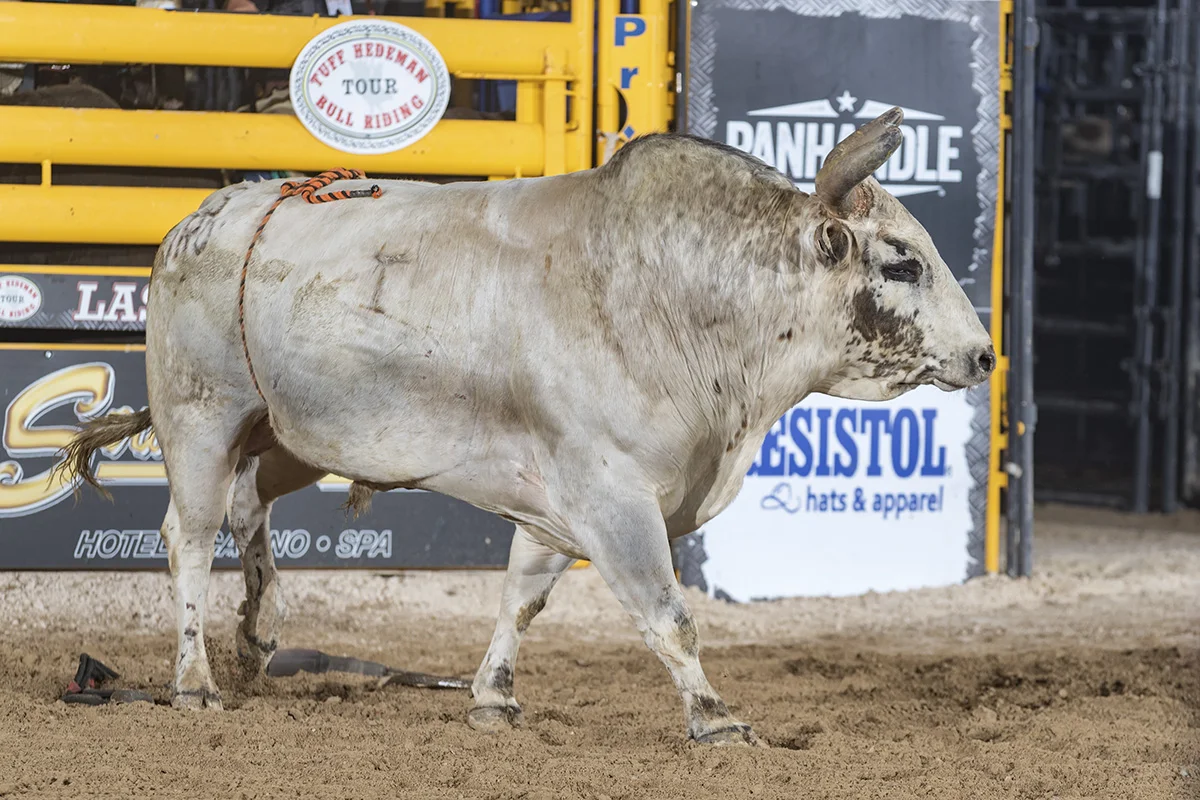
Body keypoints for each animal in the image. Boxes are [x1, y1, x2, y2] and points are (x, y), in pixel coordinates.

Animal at [57, 107, 994, 746]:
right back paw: (195, 680)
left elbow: (522, 596)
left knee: (252, 509)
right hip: (201, 417)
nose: (984, 355)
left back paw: (260, 631)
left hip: (289, 431)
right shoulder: (613, 496)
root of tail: (195, 222)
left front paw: (494, 698)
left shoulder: (558, 503)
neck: (681, 293)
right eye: (900, 262)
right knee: (189, 535)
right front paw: (716, 719)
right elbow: (667, 614)